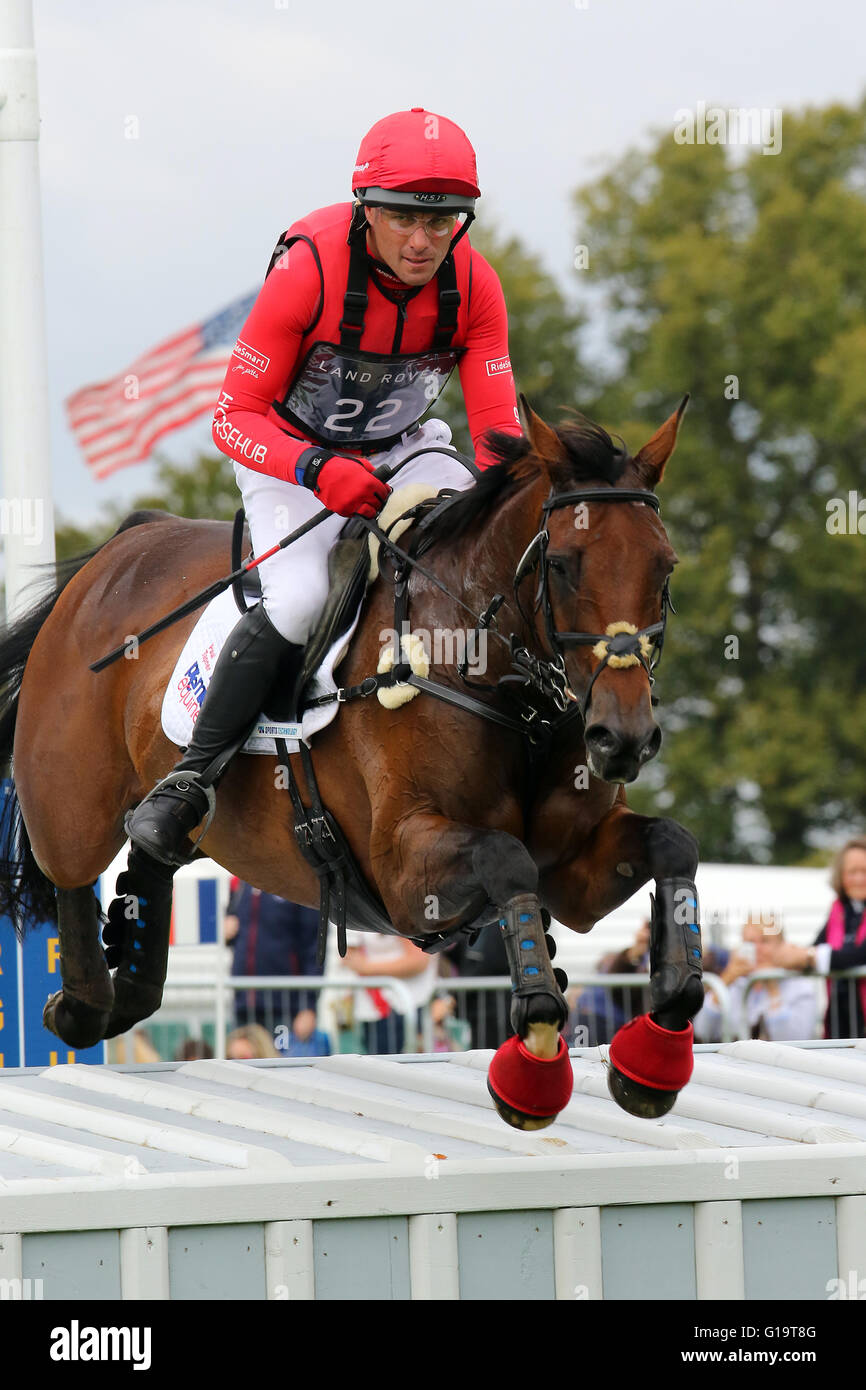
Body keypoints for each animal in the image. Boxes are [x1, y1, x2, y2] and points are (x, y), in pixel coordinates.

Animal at [0, 398, 702, 1129]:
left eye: (665, 567)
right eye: (562, 564)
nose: (624, 738)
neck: (502, 681)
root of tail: (121, 550)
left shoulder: (572, 874)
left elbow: (672, 843)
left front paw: (657, 1048)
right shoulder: (401, 871)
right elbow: (507, 858)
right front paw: (534, 1055)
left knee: (152, 851)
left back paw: (132, 974)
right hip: (70, 801)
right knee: (72, 874)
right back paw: (81, 1008)